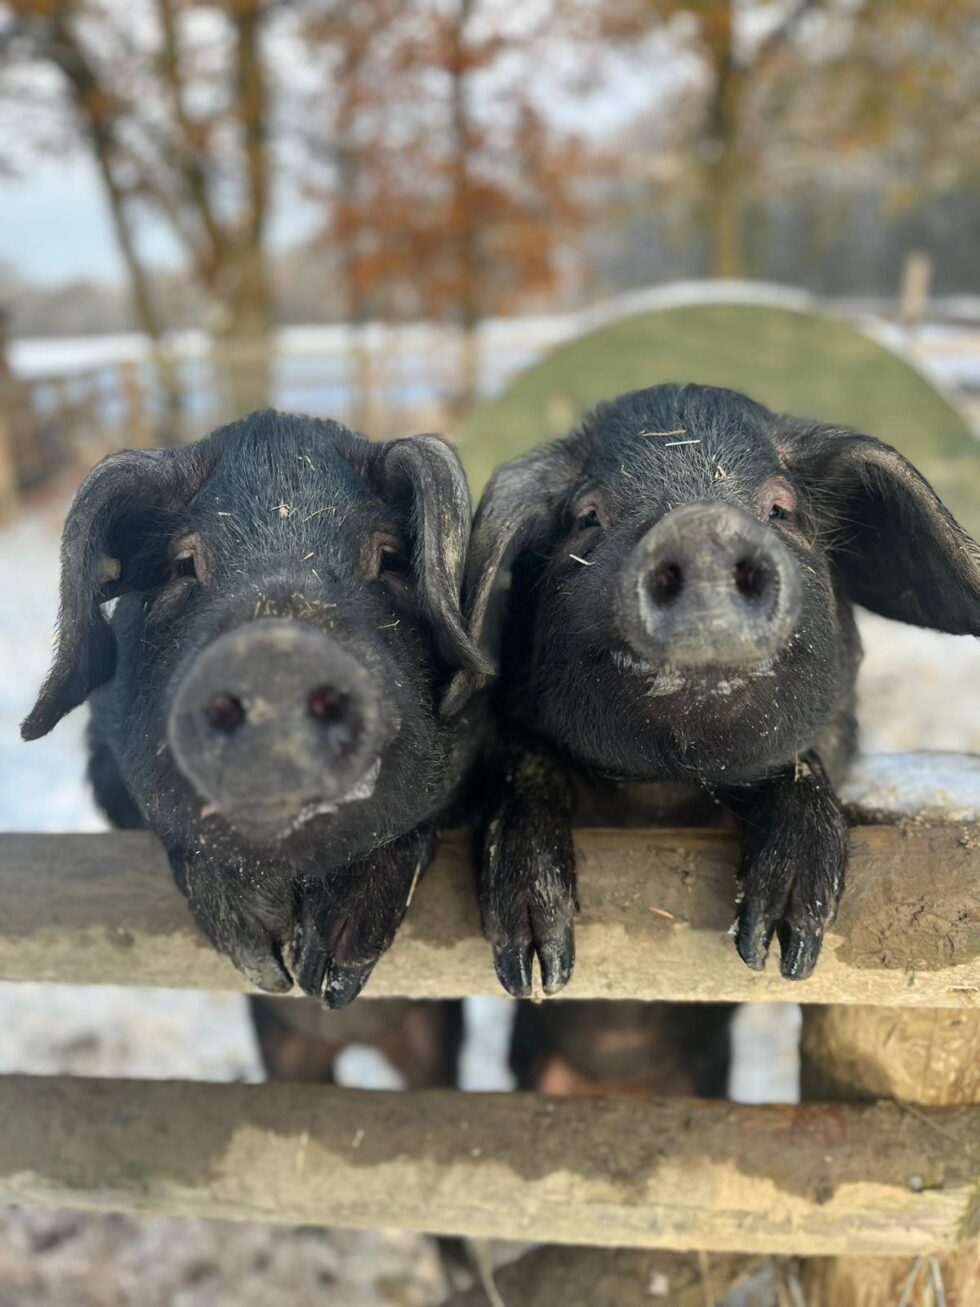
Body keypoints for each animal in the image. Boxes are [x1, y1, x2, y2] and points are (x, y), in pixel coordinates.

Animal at [445, 382, 980, 995]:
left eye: (780, 509)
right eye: (588, 516)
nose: (701, 527)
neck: (667, 792)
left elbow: (799, 763)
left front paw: (781, 954)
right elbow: (528, 761)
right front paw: (538, 971)